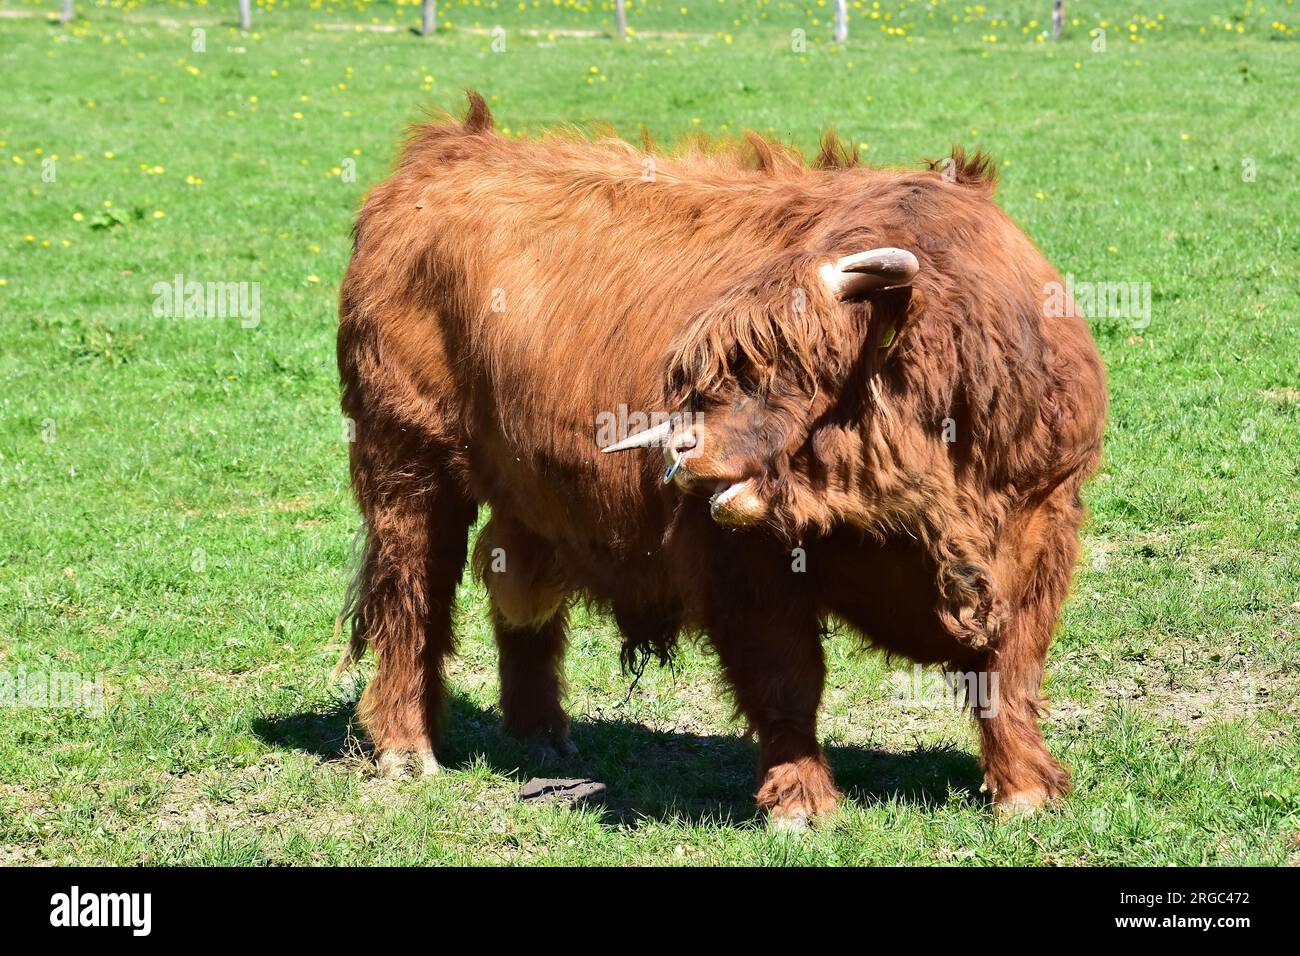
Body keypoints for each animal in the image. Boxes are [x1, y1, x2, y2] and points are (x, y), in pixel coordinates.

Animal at [335, 93, 1106, 826]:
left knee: (516, 581)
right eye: (711, 368)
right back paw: (406, 747)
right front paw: (802, 803)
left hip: (527, 486)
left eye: (795, 367)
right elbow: (786, 677)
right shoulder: (741, 561)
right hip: (405, 457)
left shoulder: (1044, 527)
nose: (680, 446)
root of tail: (446, 150)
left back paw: (543, 735)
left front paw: (1026, 790)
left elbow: (1009, 671)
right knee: (412, 591)